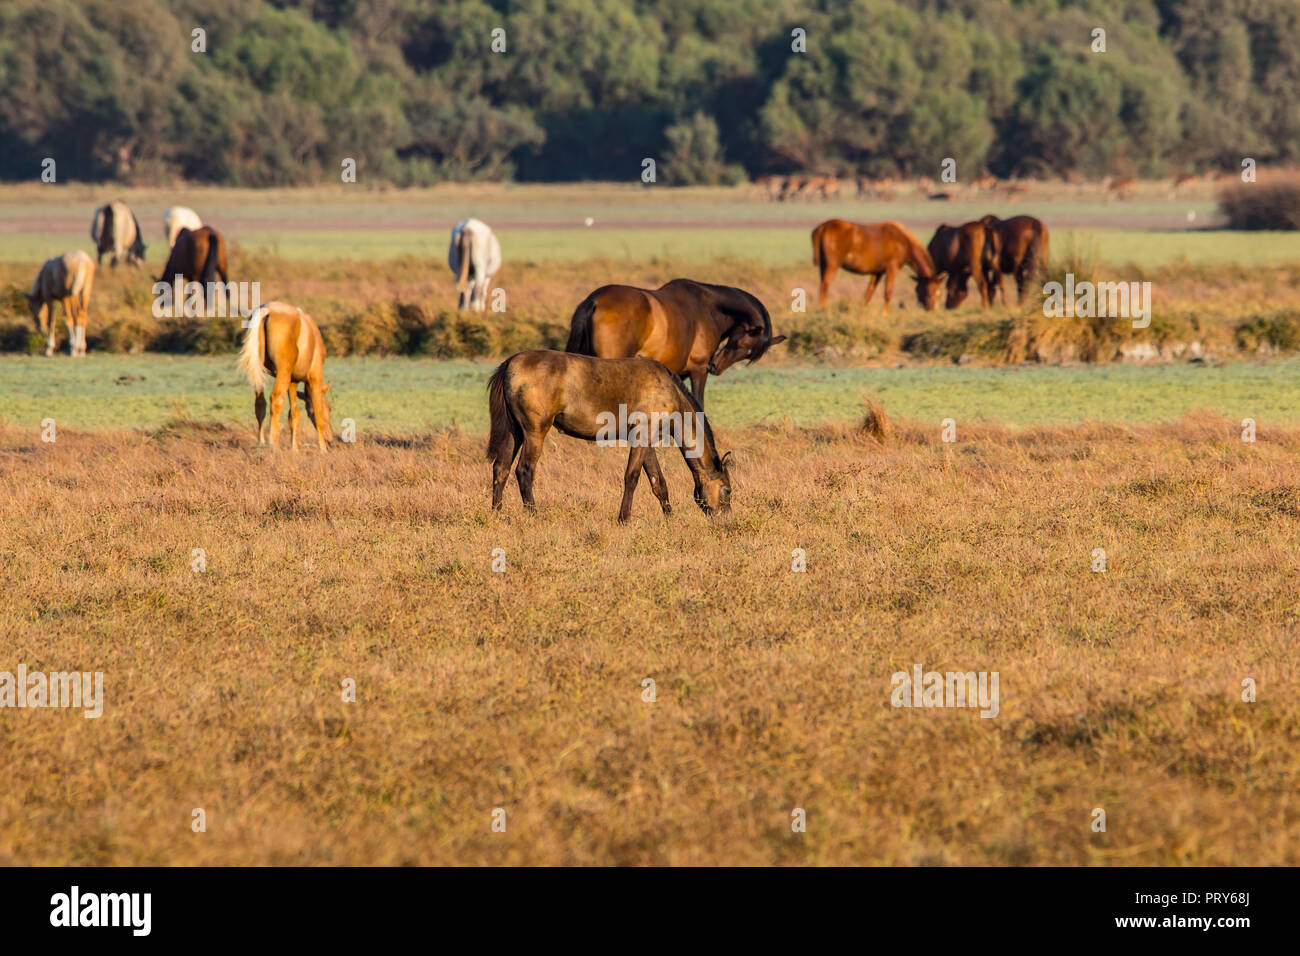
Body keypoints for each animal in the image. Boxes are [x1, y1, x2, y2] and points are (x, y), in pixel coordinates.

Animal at [236, 302, 333, 453]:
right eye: (329, 408)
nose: (331, 439)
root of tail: (267, 309)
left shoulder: (292, 382)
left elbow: (294, 414)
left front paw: (295, 449)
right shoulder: (315, 378)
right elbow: (317, 413)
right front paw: (323, 449)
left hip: (261, 374)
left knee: (260, 404)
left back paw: (261, 442)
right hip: (283, 373)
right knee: (276, 400)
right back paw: (273, 445)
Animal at [487, 350, 733, 523]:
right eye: (727, 490)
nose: (726, 522)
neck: (668, 390)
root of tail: (510, 364)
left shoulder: (645, 440)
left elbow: (658, 482)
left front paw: (670, 518)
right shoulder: (642, 436)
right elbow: (632, 477)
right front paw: (623, 519)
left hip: (514, 433)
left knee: (501, 468)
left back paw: (497, 514)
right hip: (534, 432)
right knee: (524, 470)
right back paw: (534, 514)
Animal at [564, 278, 785, 408]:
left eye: (748, 354)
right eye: (741, 345)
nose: (716, 367)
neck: (707, 307)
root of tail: (594, 301)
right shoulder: (698, 370)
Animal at [811, 219, 942, 313]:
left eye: (939, 293)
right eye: (929, 292)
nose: (933, 310)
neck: (903, 242)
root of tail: (823, 227)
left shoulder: (878, 272)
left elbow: (869, 293)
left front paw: (862, 310)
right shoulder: (892, 268)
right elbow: (888, 292)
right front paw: (885, 314)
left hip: (824, 265)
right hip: (832, 265)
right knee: (825, 285)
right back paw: (821, 309)